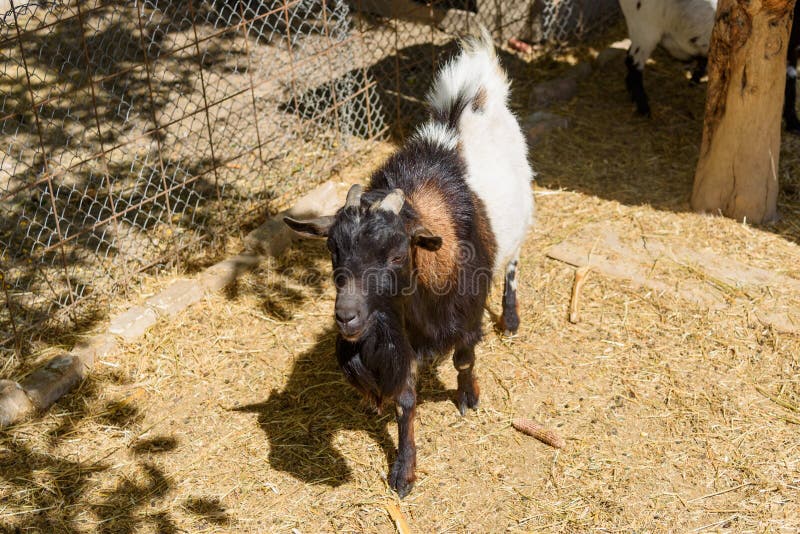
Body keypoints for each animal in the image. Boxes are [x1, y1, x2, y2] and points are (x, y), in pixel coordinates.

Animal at [284, 29, 534, 498]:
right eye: (333, 251)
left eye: (398, 254)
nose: (346, 317)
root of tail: (475, 95)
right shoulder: (402, 338)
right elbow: (404, 400)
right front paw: (404, 470)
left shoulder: (465, 318)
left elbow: (464, 360)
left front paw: (469, 397)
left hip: (522, 218)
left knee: (512, 263)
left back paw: (510, 318)